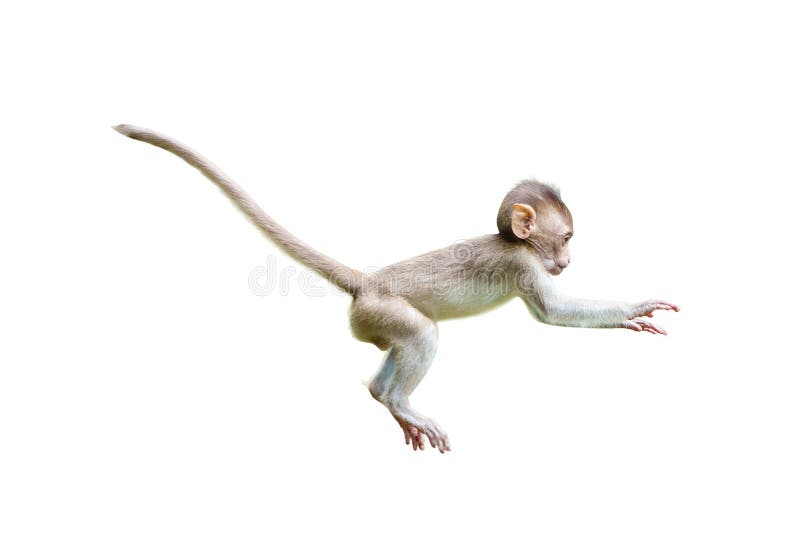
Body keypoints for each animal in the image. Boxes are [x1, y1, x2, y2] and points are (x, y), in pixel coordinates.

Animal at [113, 124, 679, 454]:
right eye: (565, 239)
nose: (567, 261)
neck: (516, 244)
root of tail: (367, 282)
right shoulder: (522, 265)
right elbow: (553, 313)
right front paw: (634, 310)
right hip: (382, 312)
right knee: (422, 334)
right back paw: (400, 402)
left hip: (375, 321)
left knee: (399, 351)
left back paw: (383, 397)